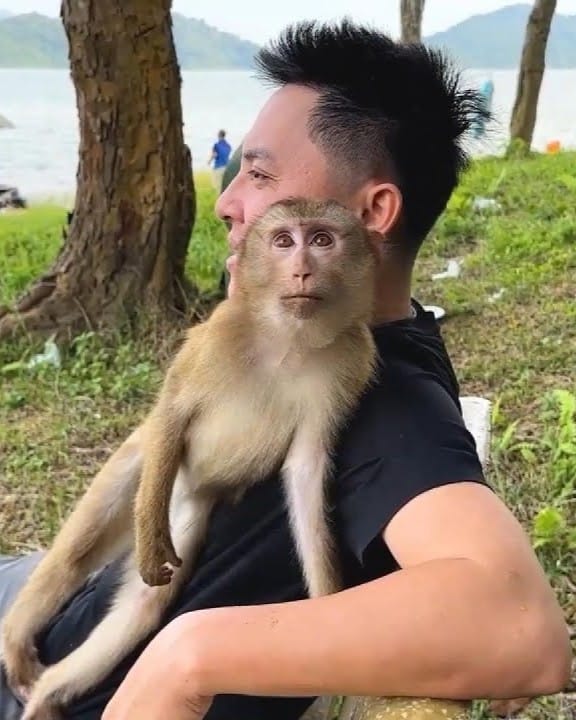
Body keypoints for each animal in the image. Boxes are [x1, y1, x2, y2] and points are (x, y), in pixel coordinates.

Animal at [0, 198, 378, 720]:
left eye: (322, 240)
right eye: (284, 241)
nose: (302, 270)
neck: (289, 341)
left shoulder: (349, 362)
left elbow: (304, 471)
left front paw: (327, 612)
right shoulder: (215, 336)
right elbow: (174, 412)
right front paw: (150, 537)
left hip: (192, 508)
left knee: (145, 606)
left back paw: (46, 695)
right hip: (141, 464)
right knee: (81, 550)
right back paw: (18, 641)